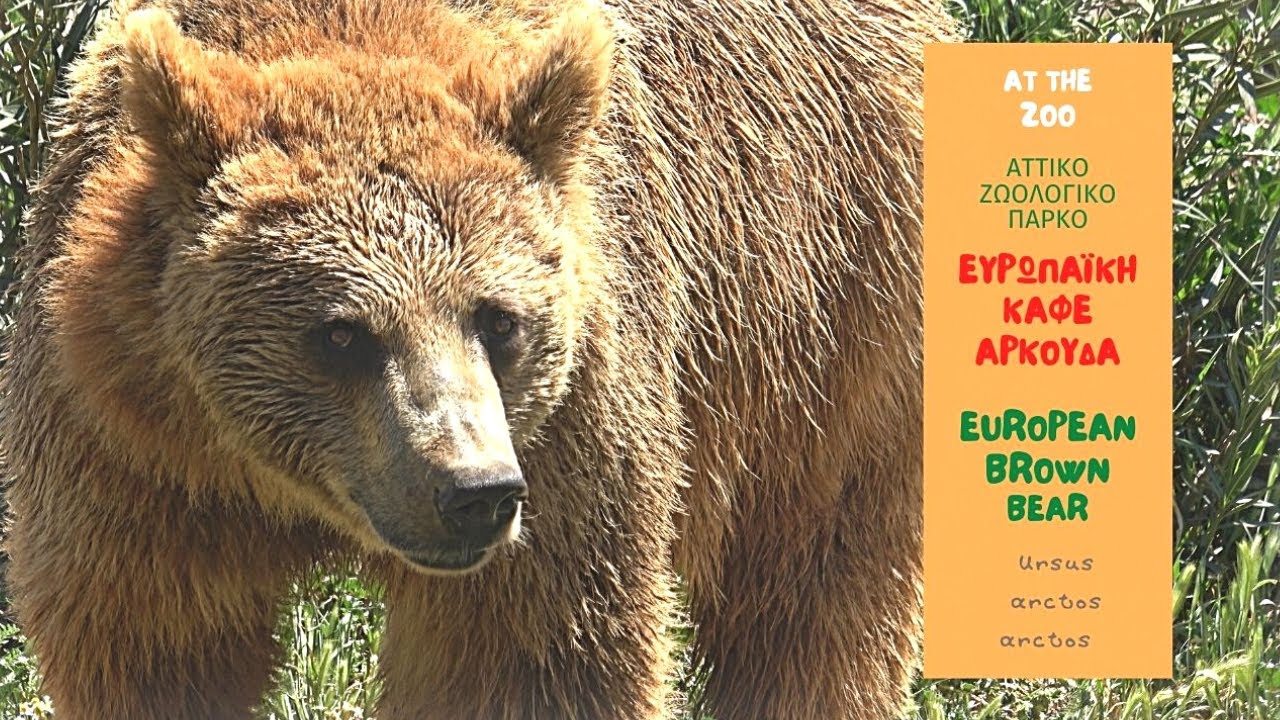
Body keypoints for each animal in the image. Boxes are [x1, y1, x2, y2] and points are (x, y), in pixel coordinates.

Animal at [0, 0, 954, 718]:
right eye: (341, 333)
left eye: (497, 321)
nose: (473, 491)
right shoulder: (134, 452)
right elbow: (151, 639)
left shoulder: (571, 438)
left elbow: (528, 658)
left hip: (832, 314)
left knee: (817, 595)